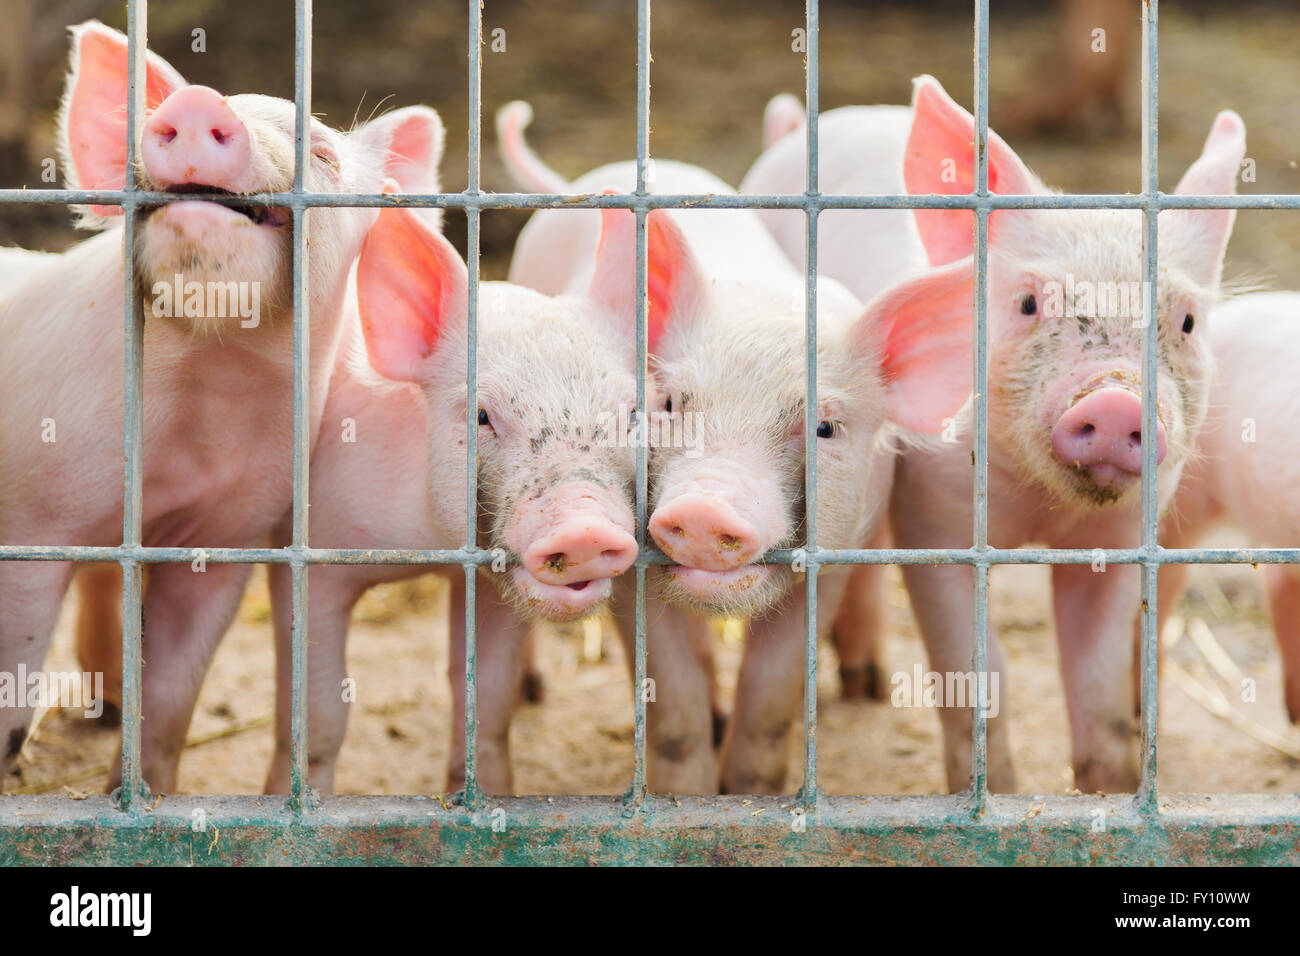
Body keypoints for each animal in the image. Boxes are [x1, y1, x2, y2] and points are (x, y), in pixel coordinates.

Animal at [0, 21, 444, 793]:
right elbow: (13, 683)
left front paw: (142, 793)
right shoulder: (31, 521)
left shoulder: (229, 531)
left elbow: (173, 694)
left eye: (323, 154)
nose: (202, 100)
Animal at [262, 201, 651, 796]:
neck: (428, 544)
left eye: (631, 414)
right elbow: (319, 711)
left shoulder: (494, 588)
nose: (584, 527)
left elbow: (484, 698)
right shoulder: (310, 558)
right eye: (482, 415)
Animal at [498, 101, 974, 794]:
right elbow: (674, 709)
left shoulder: (831, 559)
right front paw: (689, 794)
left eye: (825, 427)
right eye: (669, 405)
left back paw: (865, 684)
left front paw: (746, 789)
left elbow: (772, 699)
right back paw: (532, 691)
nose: (704, 508)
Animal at [741, 75, 1245, 793]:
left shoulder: (1123, 536)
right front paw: (994, 793)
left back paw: (868, 684)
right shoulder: (933, 516)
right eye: (1029, 303)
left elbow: (1097, 687)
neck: (1041, 511)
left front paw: (1108, 788)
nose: (1116, 400)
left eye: (1187, 322)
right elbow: (977, 672)